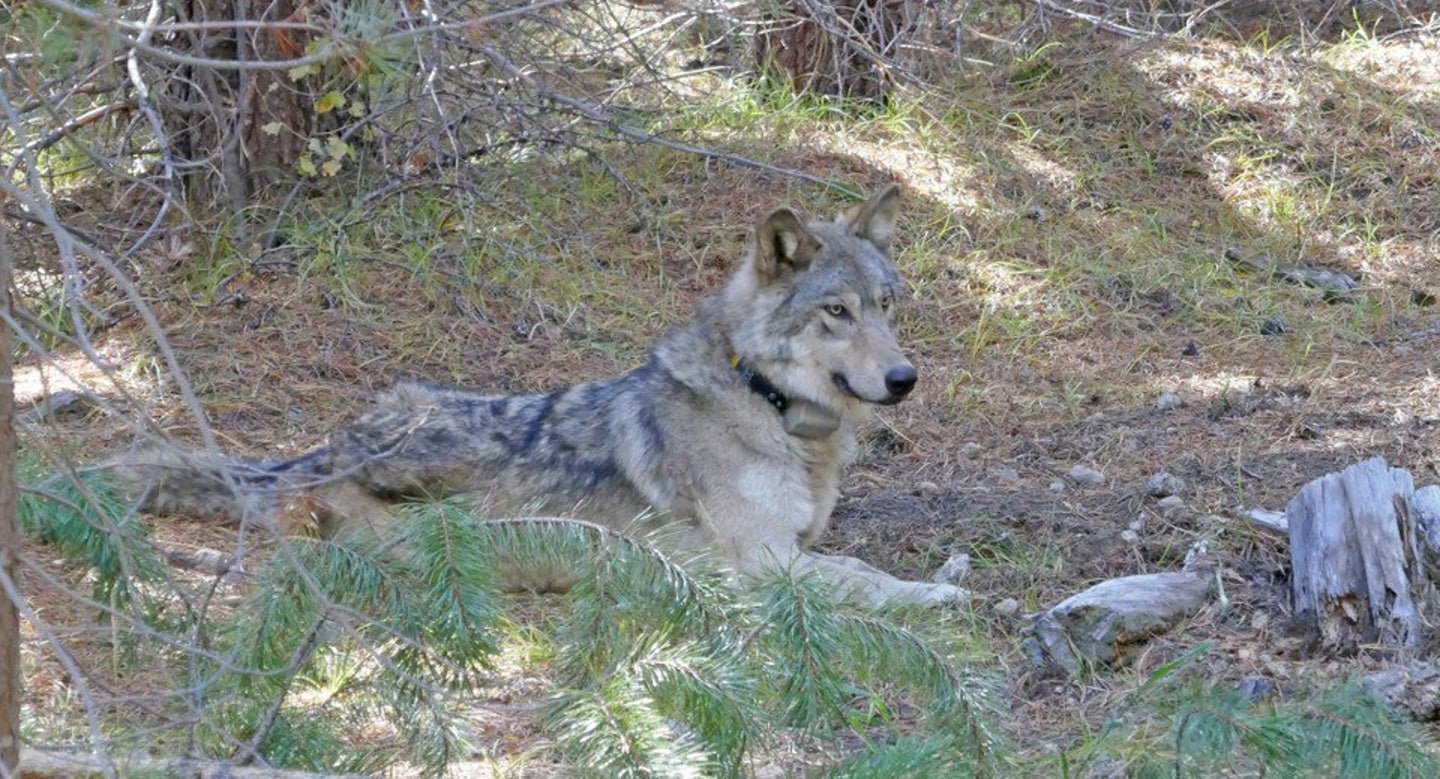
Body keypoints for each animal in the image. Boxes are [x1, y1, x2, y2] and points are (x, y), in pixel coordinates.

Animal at [126, 185, 967, 607]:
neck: (769, 405)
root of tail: (325, 449)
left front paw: (947, 570)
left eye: (886, 305)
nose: (905, 378)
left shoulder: (794, 543)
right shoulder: (762, 561)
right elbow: (864, 578)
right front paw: (934, 594)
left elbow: (854, 560)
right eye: (837, 312)